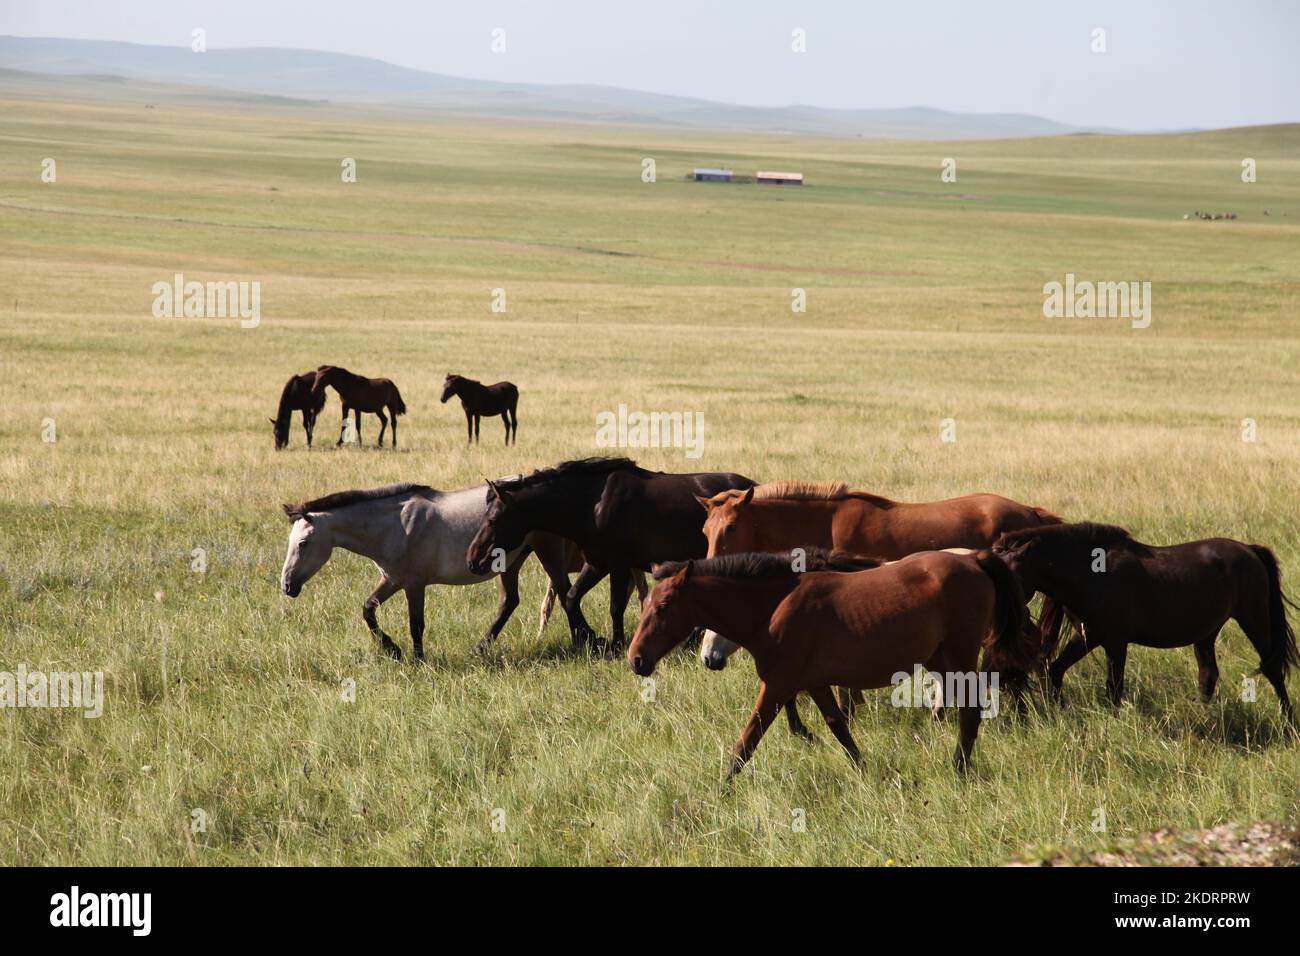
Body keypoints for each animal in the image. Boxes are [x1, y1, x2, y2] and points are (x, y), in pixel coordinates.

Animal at [280, 481, 598, 660]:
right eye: (290, 541)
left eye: (303, 543)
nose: (286, 585)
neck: (394, 525)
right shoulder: (392, 579)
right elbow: (368, 609)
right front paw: (391, 649)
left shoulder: (414, 584)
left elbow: (416, 624)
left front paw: (417, 659)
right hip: (511, 561)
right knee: (510, 603)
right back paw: (480, 649)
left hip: (548, 553)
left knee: (564, 593)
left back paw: (585, 643)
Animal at [466, 457, 756, 651]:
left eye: (493, 519)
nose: (474, 559)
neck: (593, 503)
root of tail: (755, 486)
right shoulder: (597, 563)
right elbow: (571, 597)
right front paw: (592, 639)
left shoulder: (619, 564)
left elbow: (616, 606)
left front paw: (615, 644)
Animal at [628, 548, 1034, 781]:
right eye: (644, 604)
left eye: (663, 607)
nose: (637, 660)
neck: (774, 608)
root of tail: (973, 559)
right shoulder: (814, 683)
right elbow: (839, 727)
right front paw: (866, 773)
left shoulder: (777, 685)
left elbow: (747, 740)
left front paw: (722, 787)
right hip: (940, 660)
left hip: (959, 656)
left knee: (969, 710)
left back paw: (959, 769)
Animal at [993, 522, 1297, 721]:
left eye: (1011, 576)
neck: (1090, 573)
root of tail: (1250, 549)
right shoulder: (1087, 636)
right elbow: (1055, 670)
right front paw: (1058, 708)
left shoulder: (1115, 642)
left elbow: (1113, 688)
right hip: (1206, 633)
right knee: (1208, 675)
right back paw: (1202, 717)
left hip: (1254, 618)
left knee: (1272, 668)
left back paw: (1288, 722)